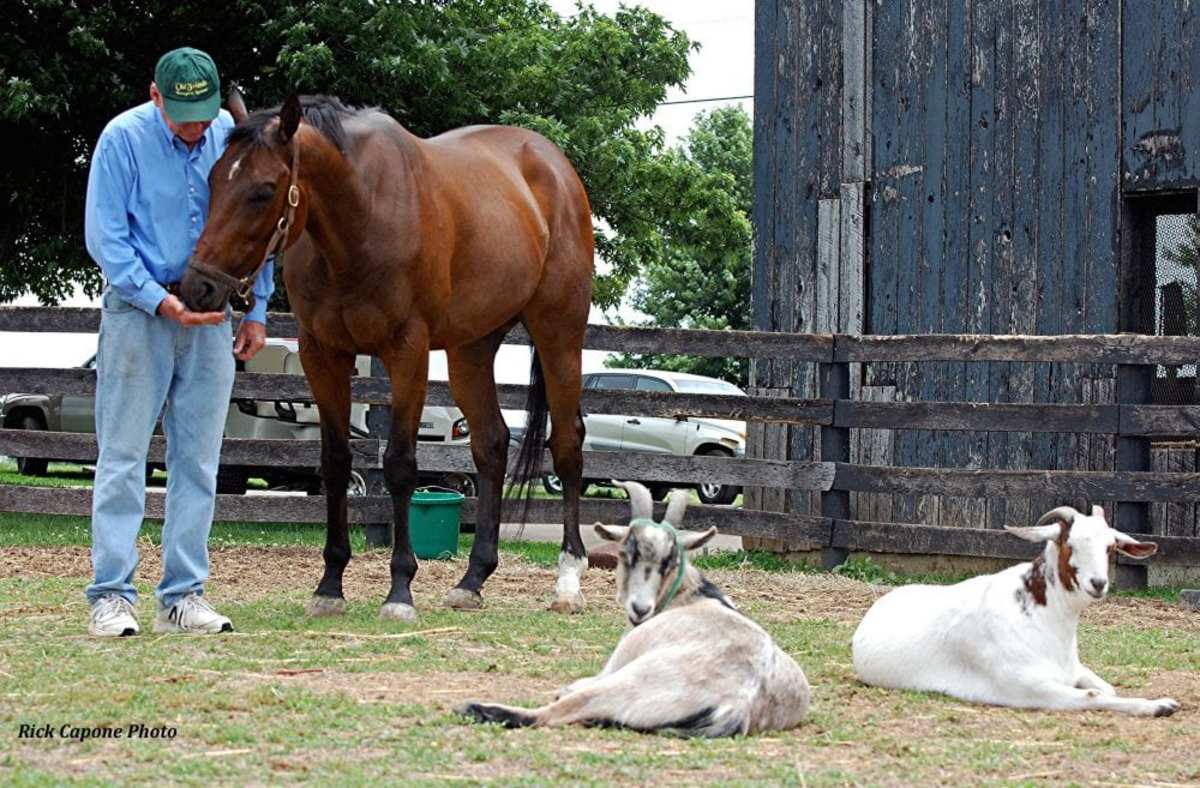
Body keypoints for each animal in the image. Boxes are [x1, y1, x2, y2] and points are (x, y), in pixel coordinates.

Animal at [460, 481, 811, 736]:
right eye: (625, 553)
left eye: (669, 561)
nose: (640, 609)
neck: (695, 595)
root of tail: (739, 700)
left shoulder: (613, 664)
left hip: (632, 681)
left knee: (557, 711)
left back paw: (477, 709)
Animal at [851, 505, 1179, 717]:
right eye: (1069, 544)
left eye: (1110, 547)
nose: (1098, 583)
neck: (1044, 620)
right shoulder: (1030, 689)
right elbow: (1094, 695)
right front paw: (1158, 705)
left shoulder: (1074, 670)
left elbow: (1106, 688)